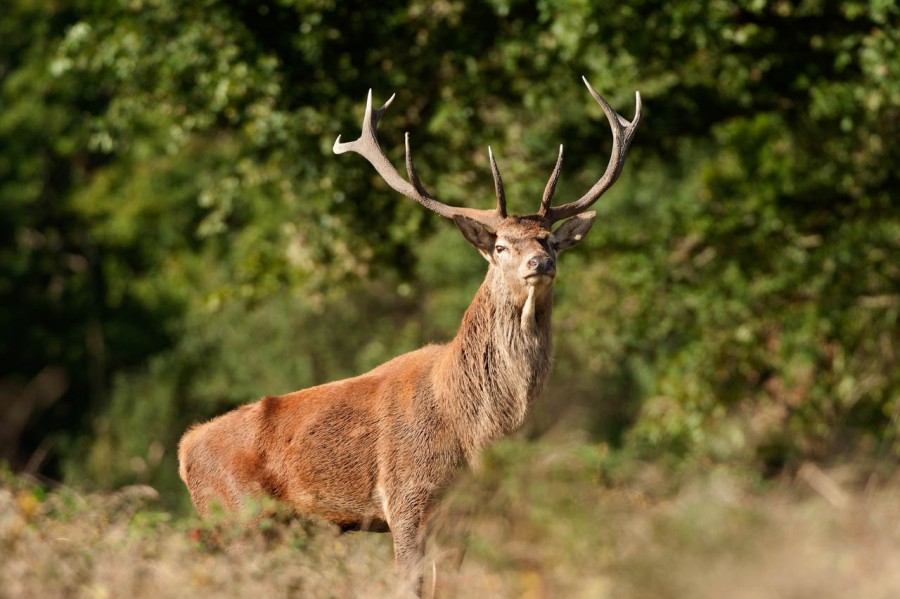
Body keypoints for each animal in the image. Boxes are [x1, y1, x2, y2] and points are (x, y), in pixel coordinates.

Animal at [178, 77, 641, 596]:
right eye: (501, 245)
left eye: (551, 240)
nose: (540, 262)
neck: (473, 428)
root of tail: (183, 451)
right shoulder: (405, 497)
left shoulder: (466, 510)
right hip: (238, 517)